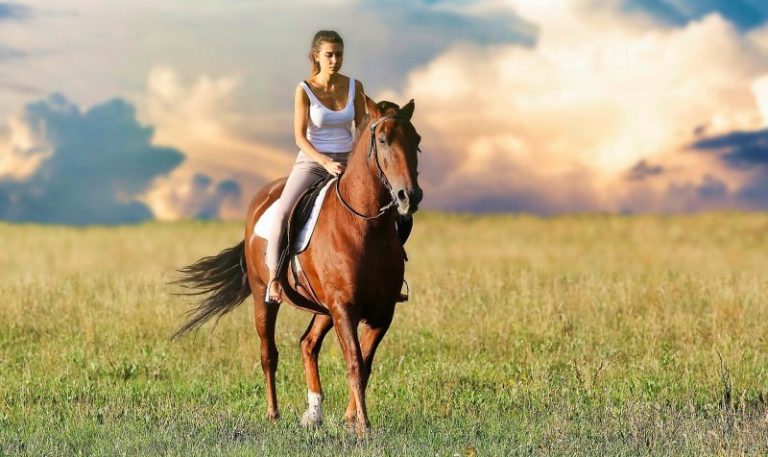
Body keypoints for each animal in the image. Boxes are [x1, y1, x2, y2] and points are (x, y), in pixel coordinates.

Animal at [171, 96, 422, 435]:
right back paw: (273, 414)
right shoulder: (345, 308)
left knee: (307, 344)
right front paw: (363, 426)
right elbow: (355, 363)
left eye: (417, 141)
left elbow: (365, 364)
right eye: (383, 140)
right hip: (265, 297)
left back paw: (313, 414)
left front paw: (350, 419)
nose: (409, 196)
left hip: (323, 308)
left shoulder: (381, 312)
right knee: (269, 354)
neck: (366, 227)